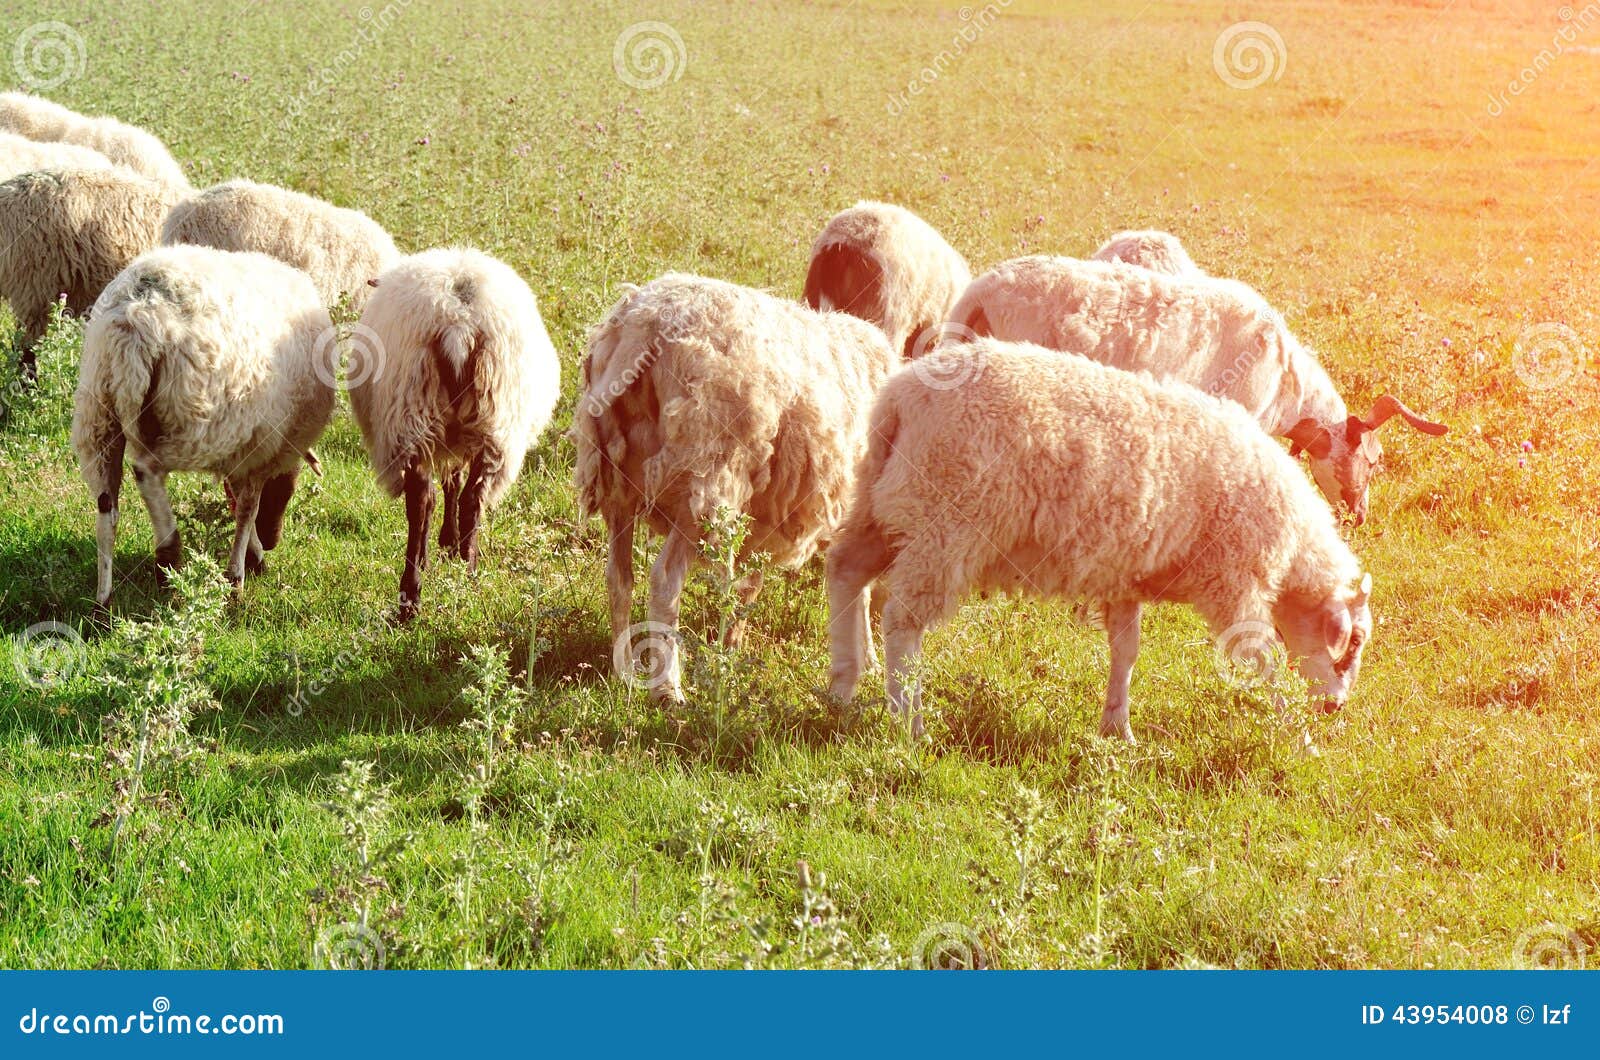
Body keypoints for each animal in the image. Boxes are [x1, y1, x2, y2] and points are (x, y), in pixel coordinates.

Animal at [72, 245, 336, 607]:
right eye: (286, 489)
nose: (272, 541)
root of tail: (136, 315)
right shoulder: (260, 444)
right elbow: (247, 508)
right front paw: (239, 575)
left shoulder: (245, 443)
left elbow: (238, 500)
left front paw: (252, 557)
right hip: (191, 420)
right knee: (146, 471)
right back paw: (168, 554)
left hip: (99, 413)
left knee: (106, 508)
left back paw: (104, 600)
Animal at [348, 248, 561, 620]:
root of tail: (459, 323)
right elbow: (453, 484)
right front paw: (450, 543)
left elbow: (450, 482)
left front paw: (446, 542)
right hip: (481, 422)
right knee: (461, 500)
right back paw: (460, 572)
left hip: (417, 415)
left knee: (429, 501)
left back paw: (416, 591)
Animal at [573, 273, 897, 702]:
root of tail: (642, 327)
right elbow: (857, 588)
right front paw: (871, 660)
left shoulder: (762, 517)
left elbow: (749, 584)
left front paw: (732, 648)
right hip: (705, 484)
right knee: (664, 580)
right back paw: (668, 688)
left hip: (617, 482)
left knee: (618, 576)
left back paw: (625, 670)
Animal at [826, 338, 1375, 742]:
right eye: (1352, 641)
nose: (1335, 708)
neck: (1293, 549)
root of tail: (900, 398)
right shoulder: (1235, 584)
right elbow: (1265, 662)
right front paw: (1299, 739)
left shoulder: (1125, 576)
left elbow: (1126, 651)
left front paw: (1118, 728)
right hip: (944, 521)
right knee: (902, 619)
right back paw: (908, 721)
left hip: (883, 502)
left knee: (844, 570)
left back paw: (842, 683)